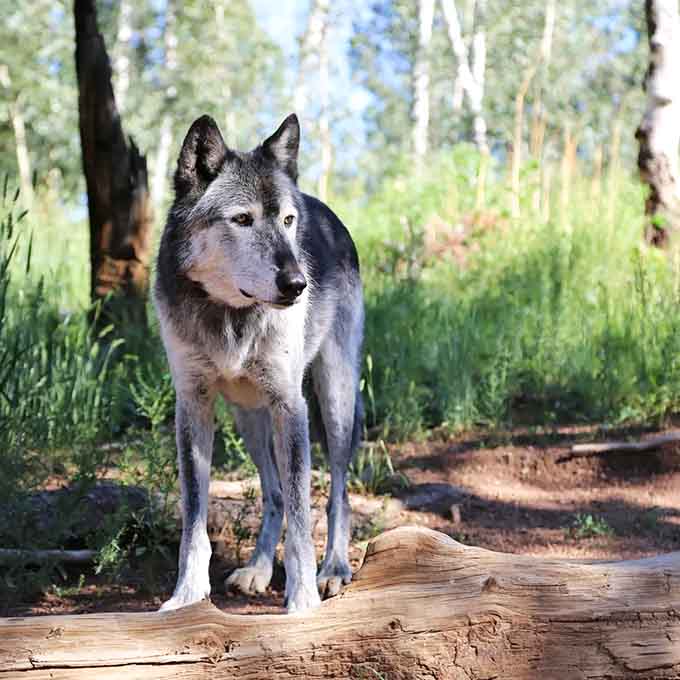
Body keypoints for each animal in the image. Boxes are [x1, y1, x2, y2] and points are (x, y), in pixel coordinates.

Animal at [153, 113, 364, 613]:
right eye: (242, 220)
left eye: (287, 222)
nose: (297, 284)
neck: (230, 315)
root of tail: (324, 209)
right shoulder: (193, 406)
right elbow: (194, 518)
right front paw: (186, 597)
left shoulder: (290, 405)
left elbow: (303, 519)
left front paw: (303, 601)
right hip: (247, 415)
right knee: (273, 493)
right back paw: (259, 569)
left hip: (334, 399)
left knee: (338, 494)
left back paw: (334, 569)